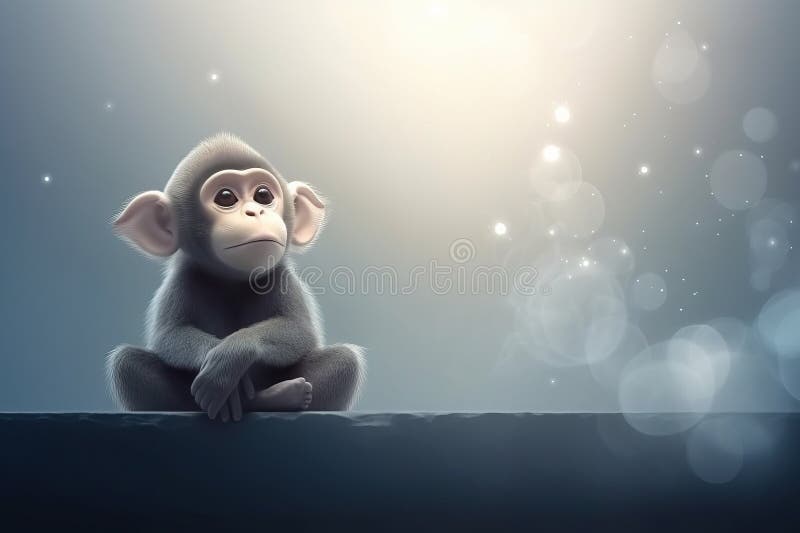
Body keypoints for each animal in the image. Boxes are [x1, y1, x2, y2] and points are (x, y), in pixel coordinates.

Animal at [106, 133, 365, 421]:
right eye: (226, 197)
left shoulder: (281, 275)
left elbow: (299, 329)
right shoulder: (183, 279)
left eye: (263, 195)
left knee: (345, 360)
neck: (234, 279)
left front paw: (233, 354)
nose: (256, 212)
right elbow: (170, 335)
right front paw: (226, 375)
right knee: (127, 364)